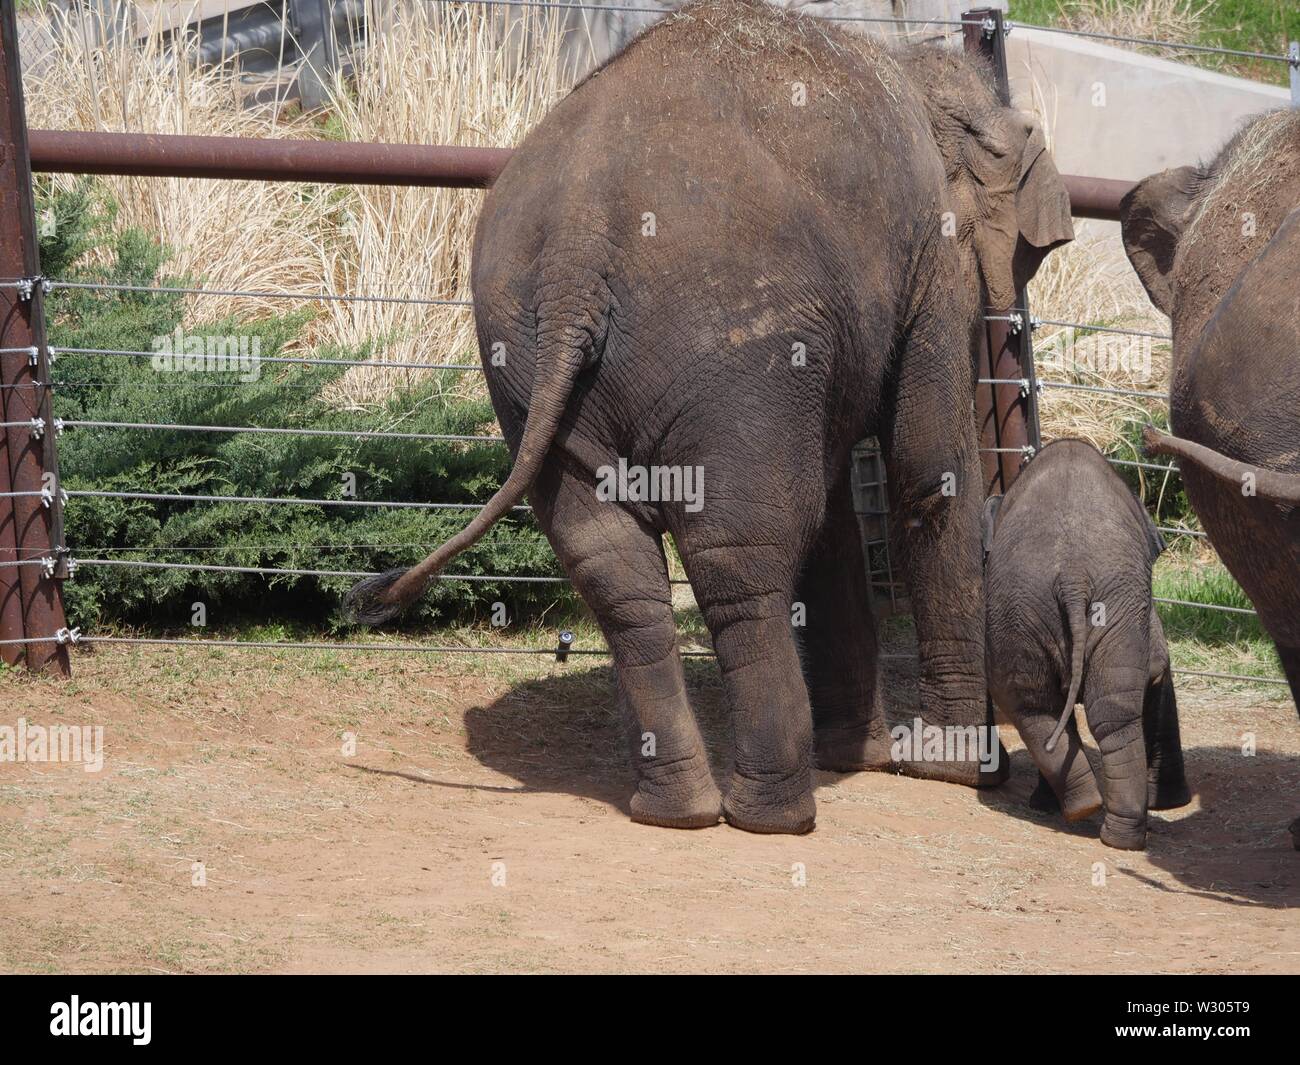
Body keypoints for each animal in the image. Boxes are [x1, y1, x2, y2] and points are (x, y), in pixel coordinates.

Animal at [345, 0, 1074, 834]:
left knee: (613, 565)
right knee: (740, 556)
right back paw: (773, 816)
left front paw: (865, 760)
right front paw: (961, 772)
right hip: (731, 351)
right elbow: (929, 476)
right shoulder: (933, 256)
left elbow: (837, 513)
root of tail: (573, 247)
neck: (916, 65)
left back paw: (677, 809)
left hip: (526, 364)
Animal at [983, 440, 1191, 850]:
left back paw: (1088, 813)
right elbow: (1159, 670)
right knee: (1107, 713)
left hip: (1019, 612)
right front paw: (1173, 803)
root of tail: (1072, 575)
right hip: (1110, 606)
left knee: (1038, 711)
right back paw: (1112, 830)